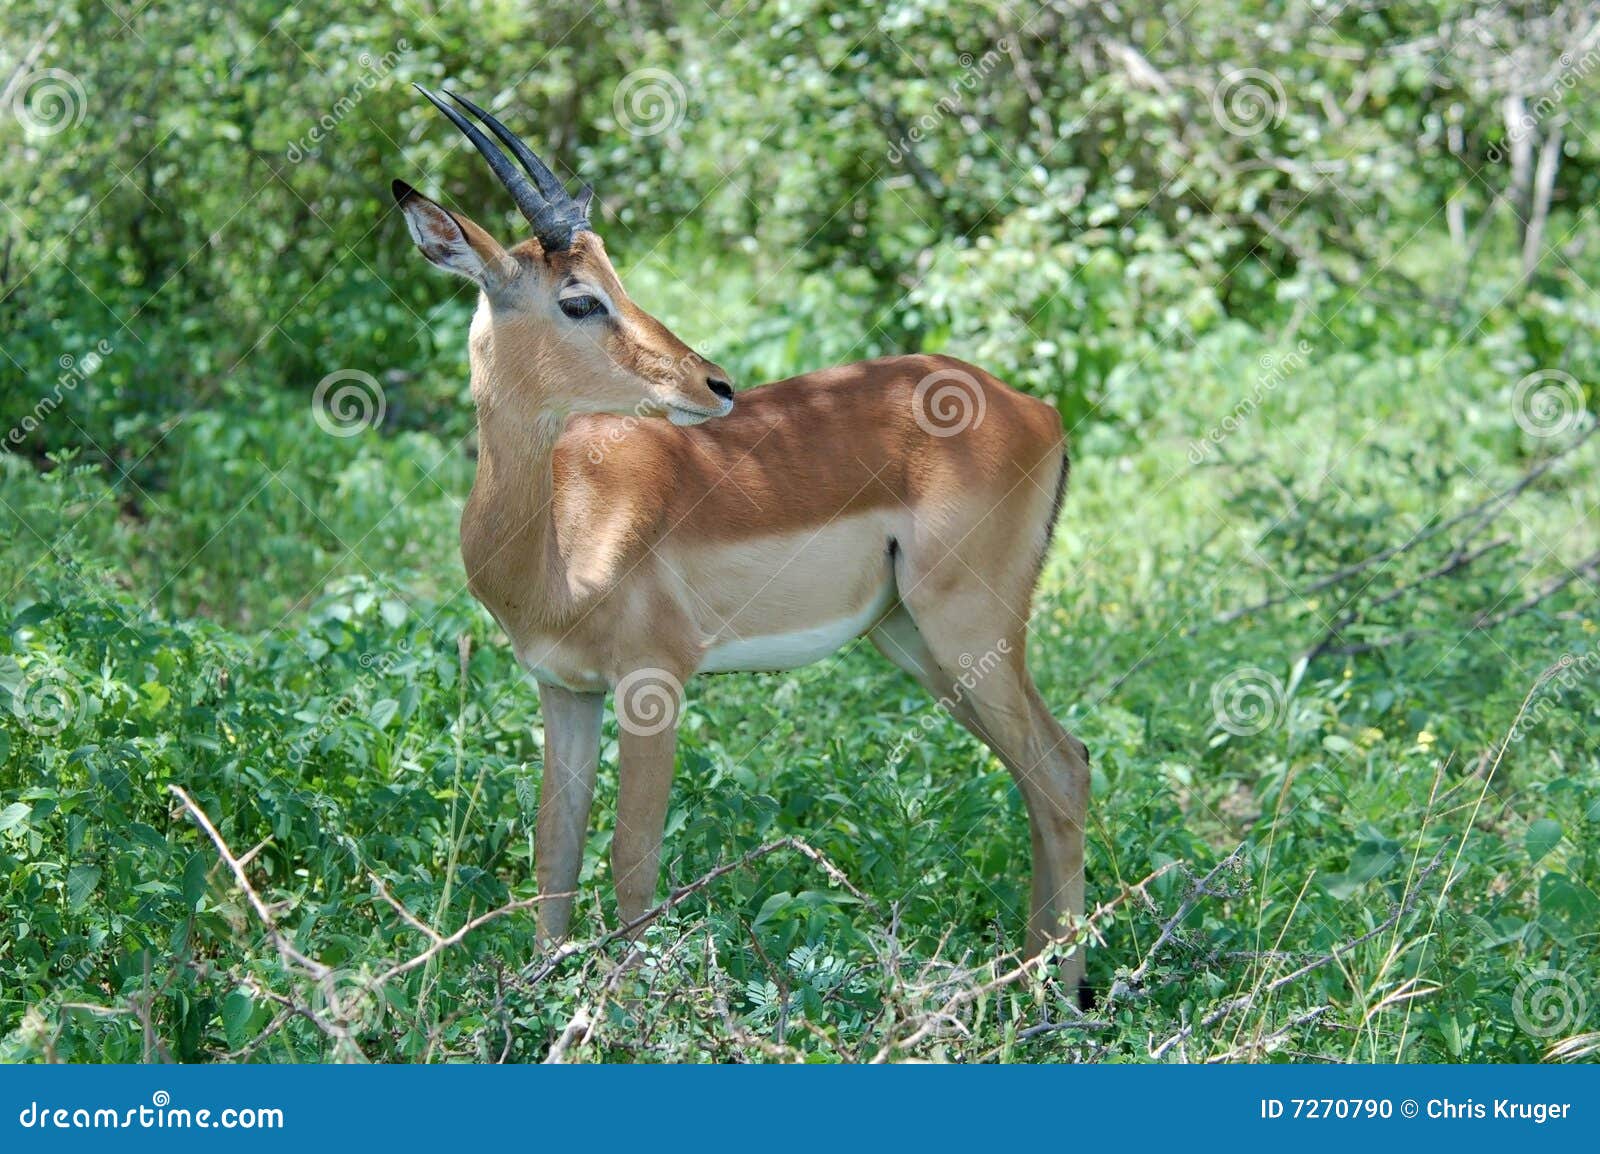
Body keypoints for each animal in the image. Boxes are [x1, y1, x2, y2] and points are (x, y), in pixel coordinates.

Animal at [394, 88, 1092, 989]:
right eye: (581, 298)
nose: (715, 384)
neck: (561, 543)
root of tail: (1037, 410)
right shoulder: (564, 689)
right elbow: (555, 852)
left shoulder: (653, 685)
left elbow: (632, 860)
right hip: (918, 643)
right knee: (1046, 775)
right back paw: (1029, 972)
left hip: (969, 628)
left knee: (1061, 772)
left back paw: (1054, 993)